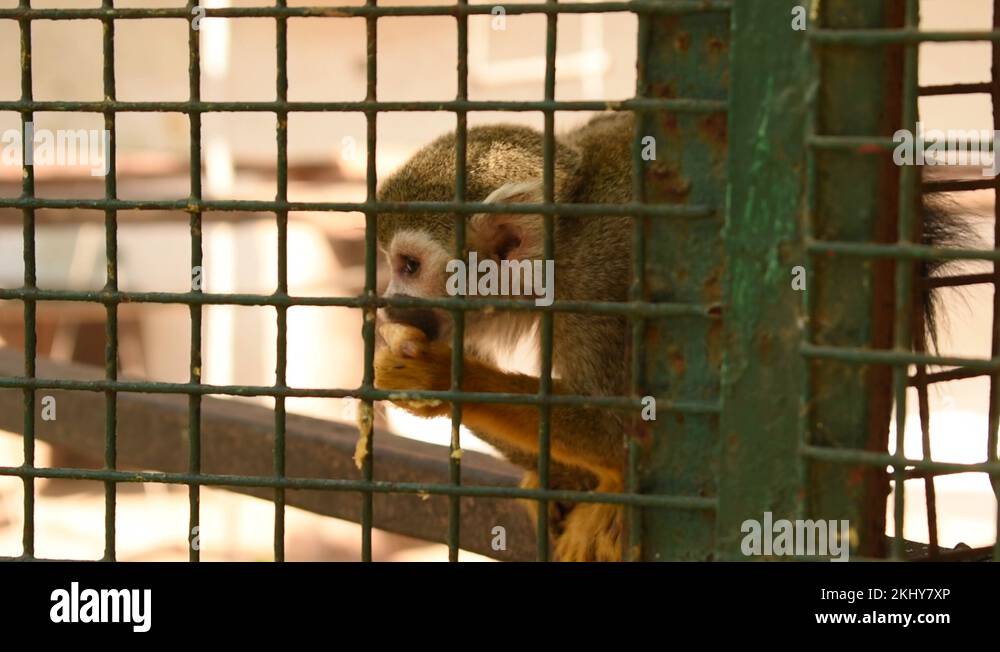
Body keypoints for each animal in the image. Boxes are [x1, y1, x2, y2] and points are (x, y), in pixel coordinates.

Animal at [370, 111, 973, 561]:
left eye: (408, 266)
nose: (386, 302)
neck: (563, 239)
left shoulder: (596, 286)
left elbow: (622, 429)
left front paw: (438, 377)